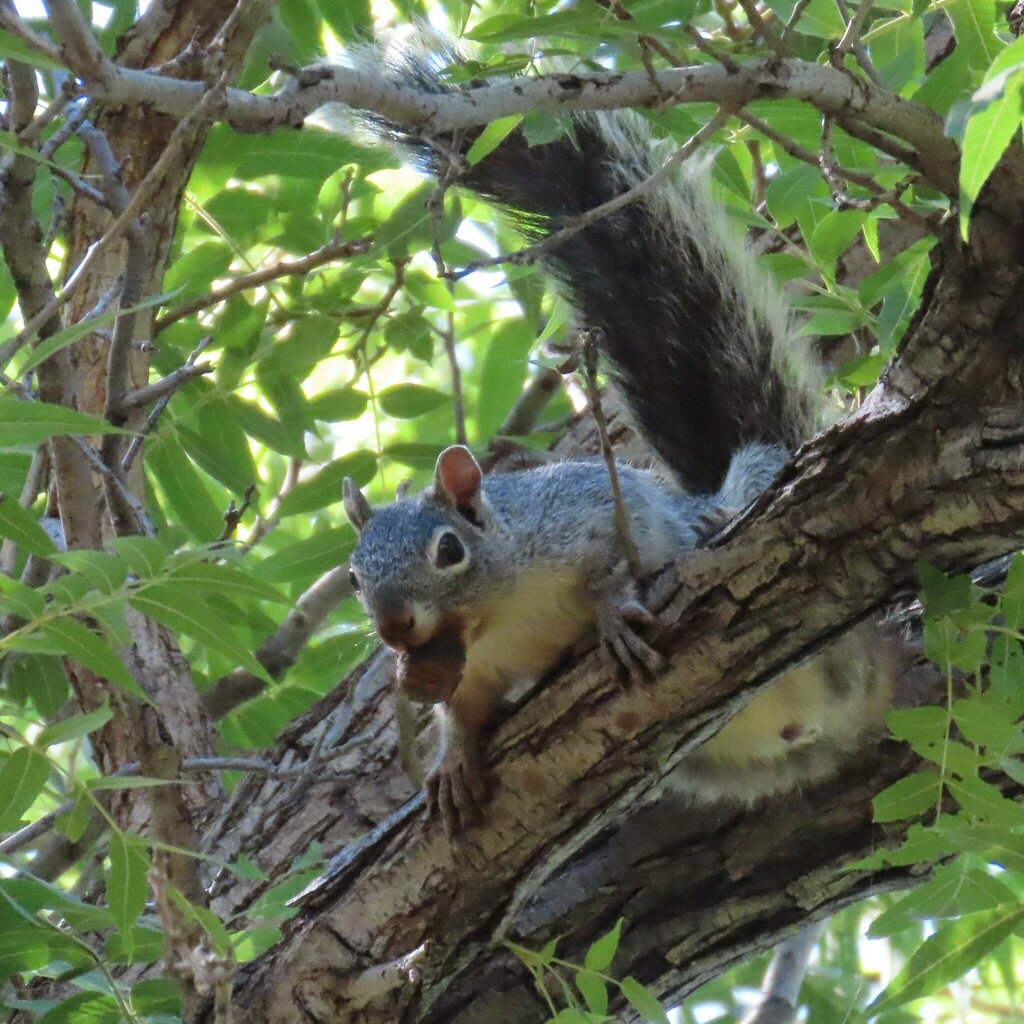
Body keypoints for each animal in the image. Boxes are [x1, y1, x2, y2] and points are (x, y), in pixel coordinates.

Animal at [339, 41, 896, 836]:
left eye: (448, 550)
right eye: (355, 577)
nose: (392, 628)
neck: (496, 617)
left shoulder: (585, 513)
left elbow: (610, 560)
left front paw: (609, 617)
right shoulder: (476, 669)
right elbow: (465, 709)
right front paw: (451, 758)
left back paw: (713, 515)